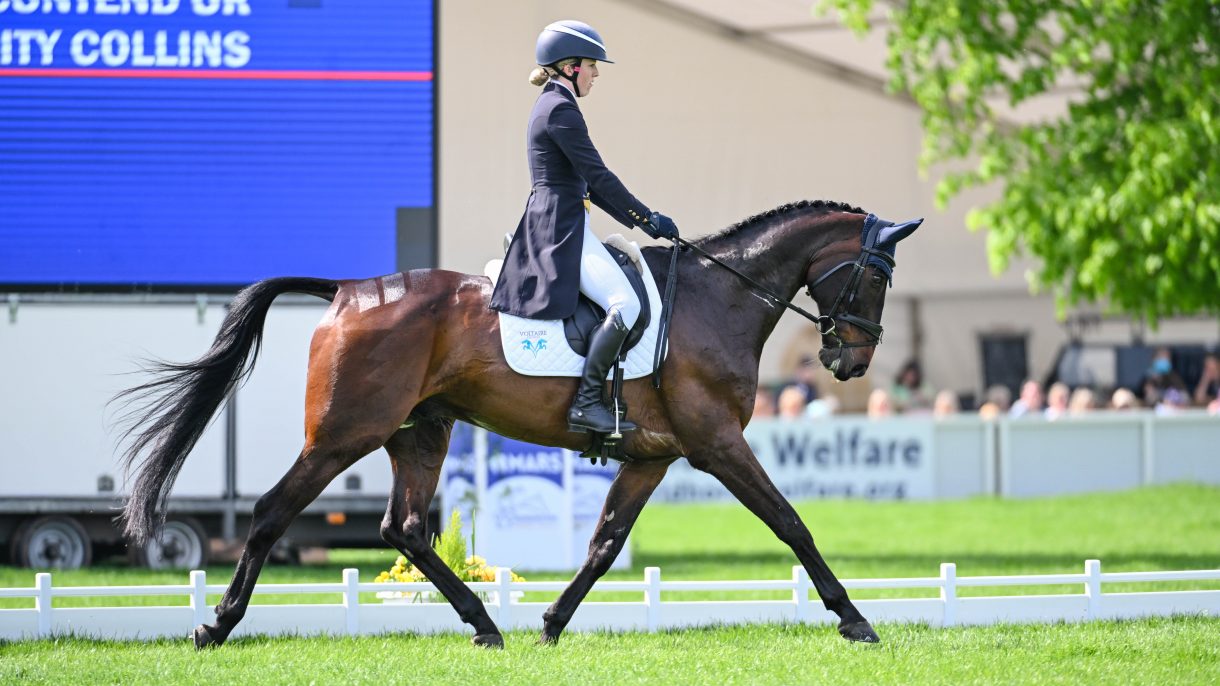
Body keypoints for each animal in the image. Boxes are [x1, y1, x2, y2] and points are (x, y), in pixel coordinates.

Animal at [114, 199, 921, 649]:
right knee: (273, 511)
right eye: (876, 278)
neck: (717, 299)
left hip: (420, 433)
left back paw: (486, 623)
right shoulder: (718, 444)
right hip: (345, 435)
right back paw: (216, 626)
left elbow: (603, 544)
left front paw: (552, 623)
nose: (849, 361)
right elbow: (792, 525)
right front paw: (854, 618)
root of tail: (348, 290)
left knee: (405, 528)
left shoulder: (652, 457)